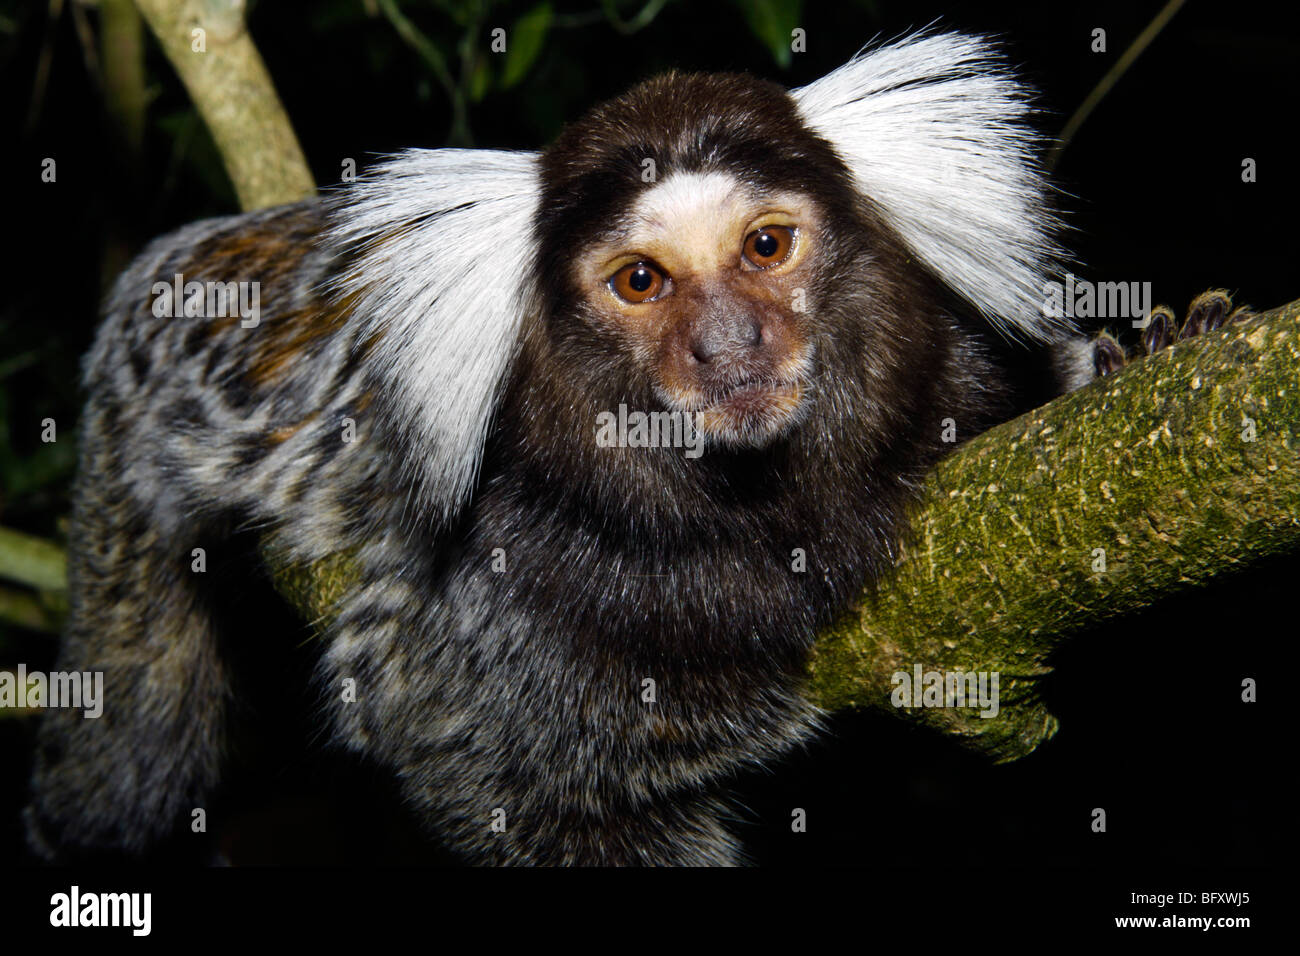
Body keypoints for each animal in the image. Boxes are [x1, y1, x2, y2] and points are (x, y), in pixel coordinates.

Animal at [23, 31, 1246, 865]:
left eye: (767, 247)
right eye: (642, 281)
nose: (728, 344)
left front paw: (1148, 352)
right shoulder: (489, 615)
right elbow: (490, 766)